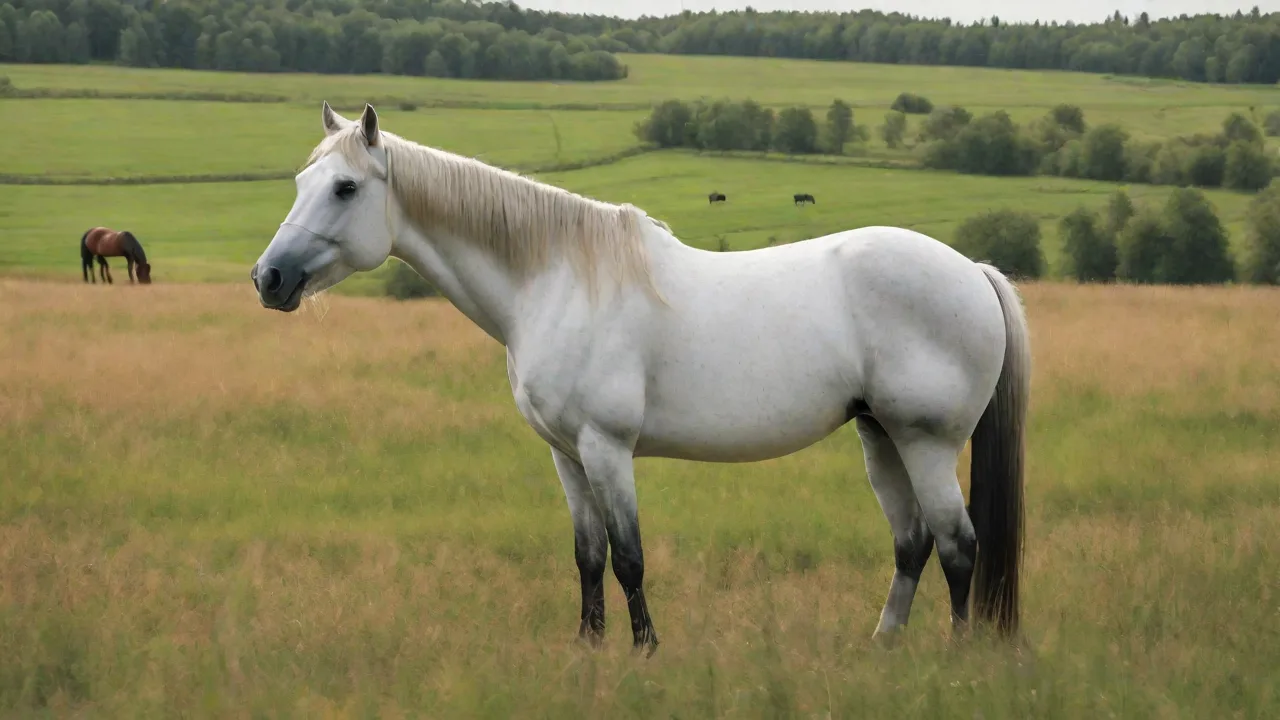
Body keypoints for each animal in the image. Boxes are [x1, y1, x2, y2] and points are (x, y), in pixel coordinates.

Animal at [251, 103, 1031, 655]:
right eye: (302, 182)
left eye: (345, 187)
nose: (269, 278)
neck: (556, 279)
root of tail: (972, 271)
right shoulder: (566, 456)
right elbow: (588, 556)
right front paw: (588, 648)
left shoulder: (606, 447)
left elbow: (629, 556)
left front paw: (645, 650)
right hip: (879, 436)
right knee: (913, 543)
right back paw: (883, 645)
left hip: (926, 442)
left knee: (958, 545)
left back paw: (957, 656)